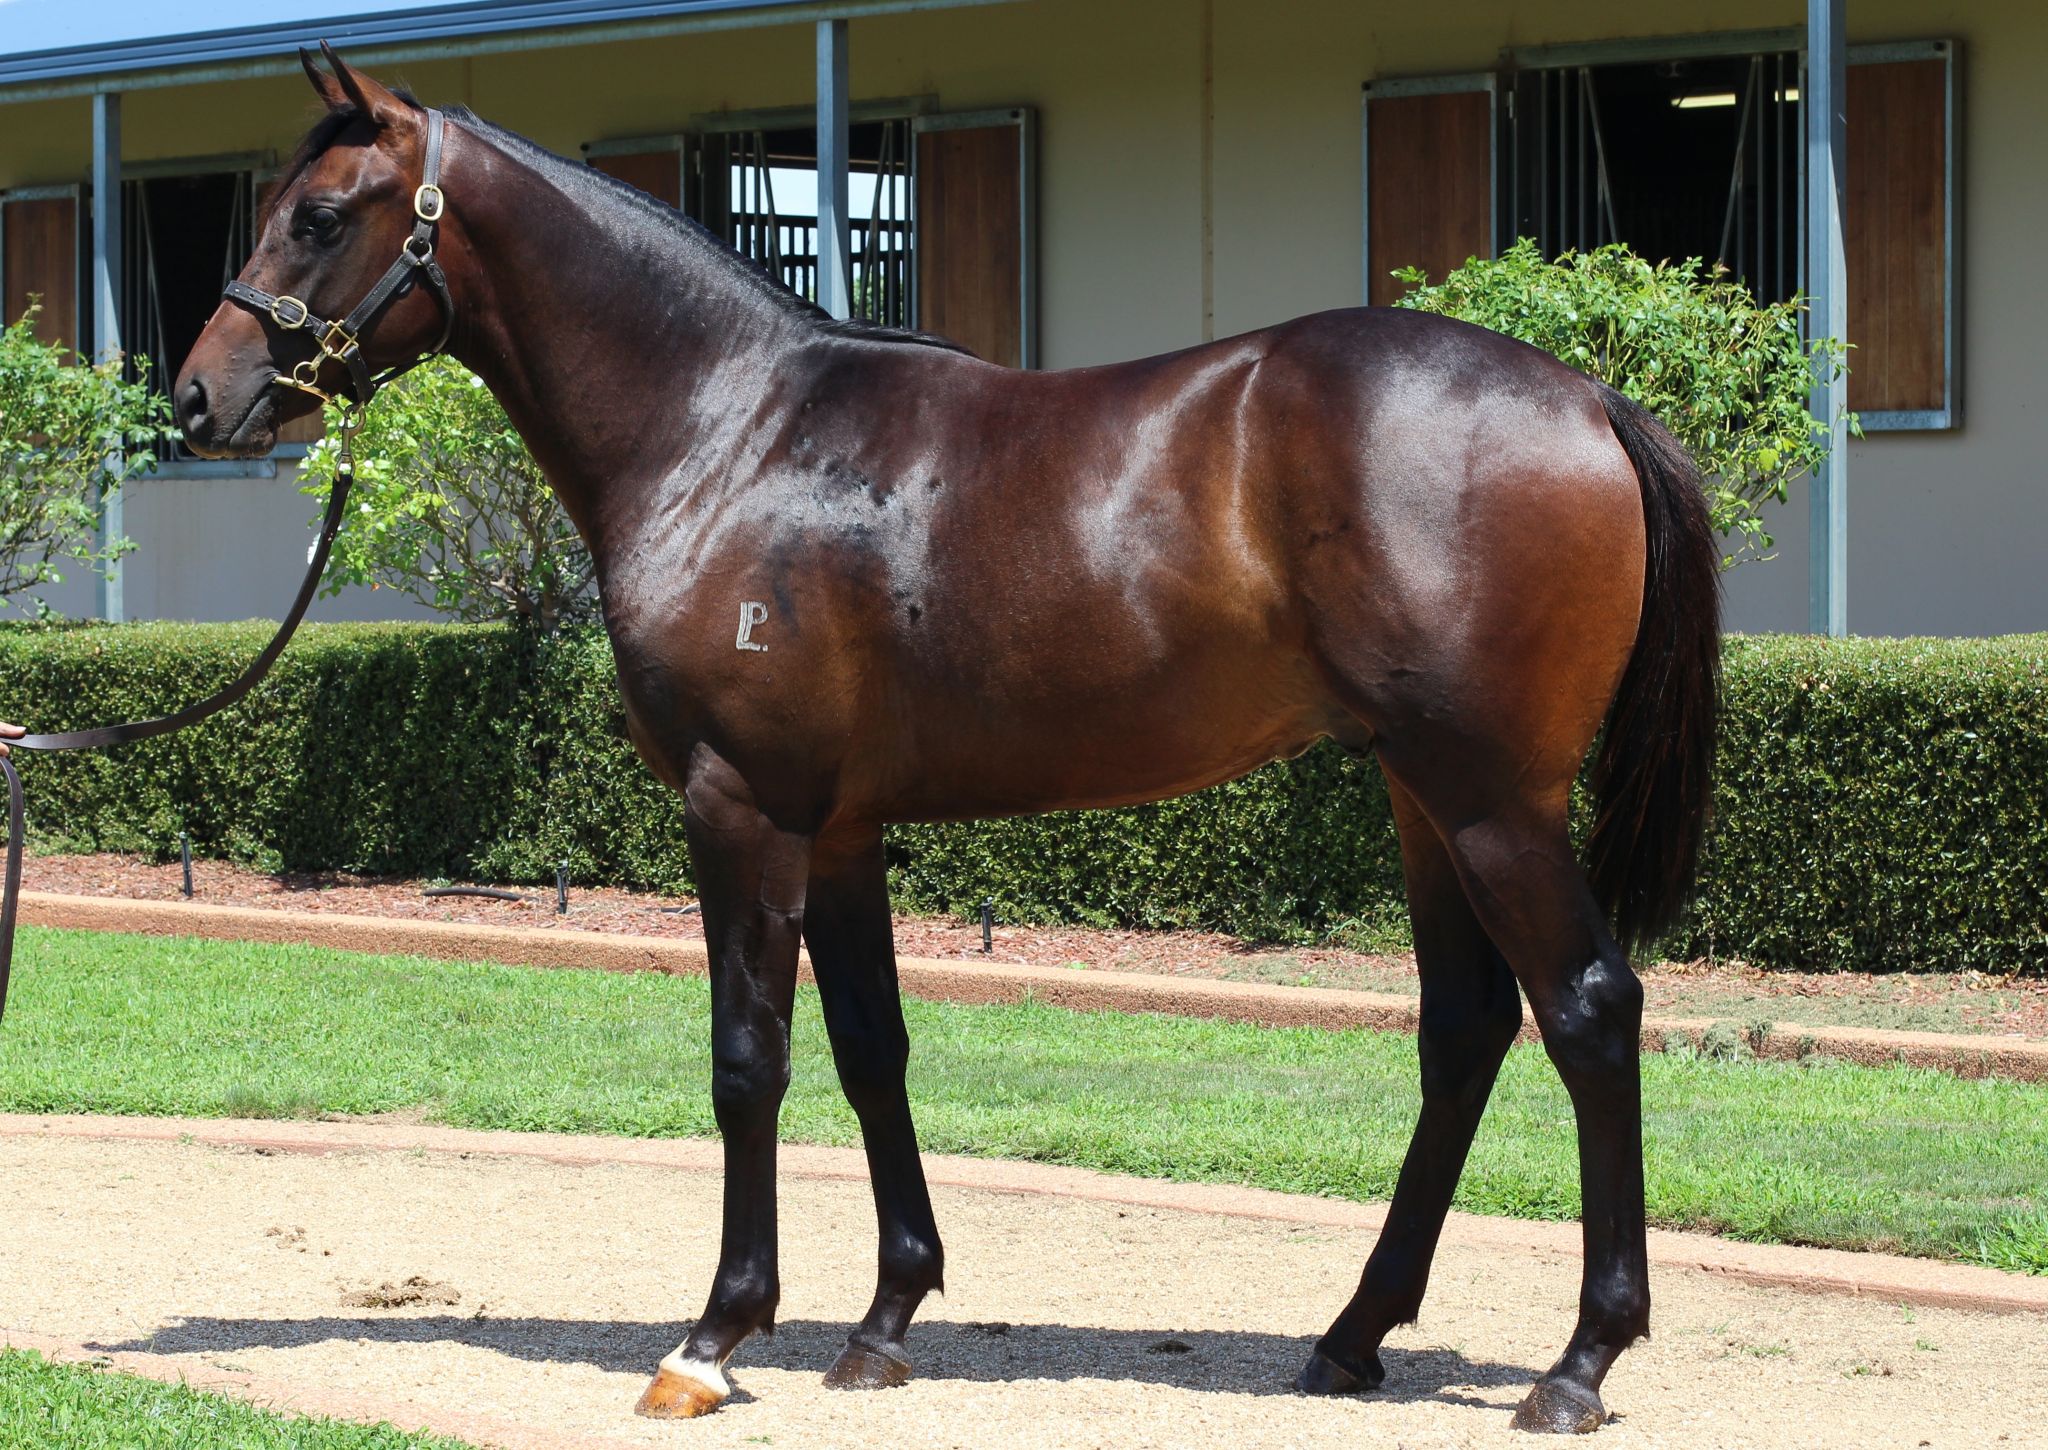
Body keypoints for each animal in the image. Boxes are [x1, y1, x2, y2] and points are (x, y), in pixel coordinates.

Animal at [174, 47, 1719, 1436]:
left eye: (321, 215)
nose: (197, 398)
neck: (730, 431)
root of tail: (1588, 398)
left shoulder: (744, 810)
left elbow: (749, 1056)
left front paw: (715, 1334)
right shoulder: (840, 827)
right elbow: (872, 1048)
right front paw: (884, 1319)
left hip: (1491, 799)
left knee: (1589, 1010)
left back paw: (1577, 1363)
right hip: (1419, 793)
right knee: (1464, 1029)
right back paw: (1350, 1336)